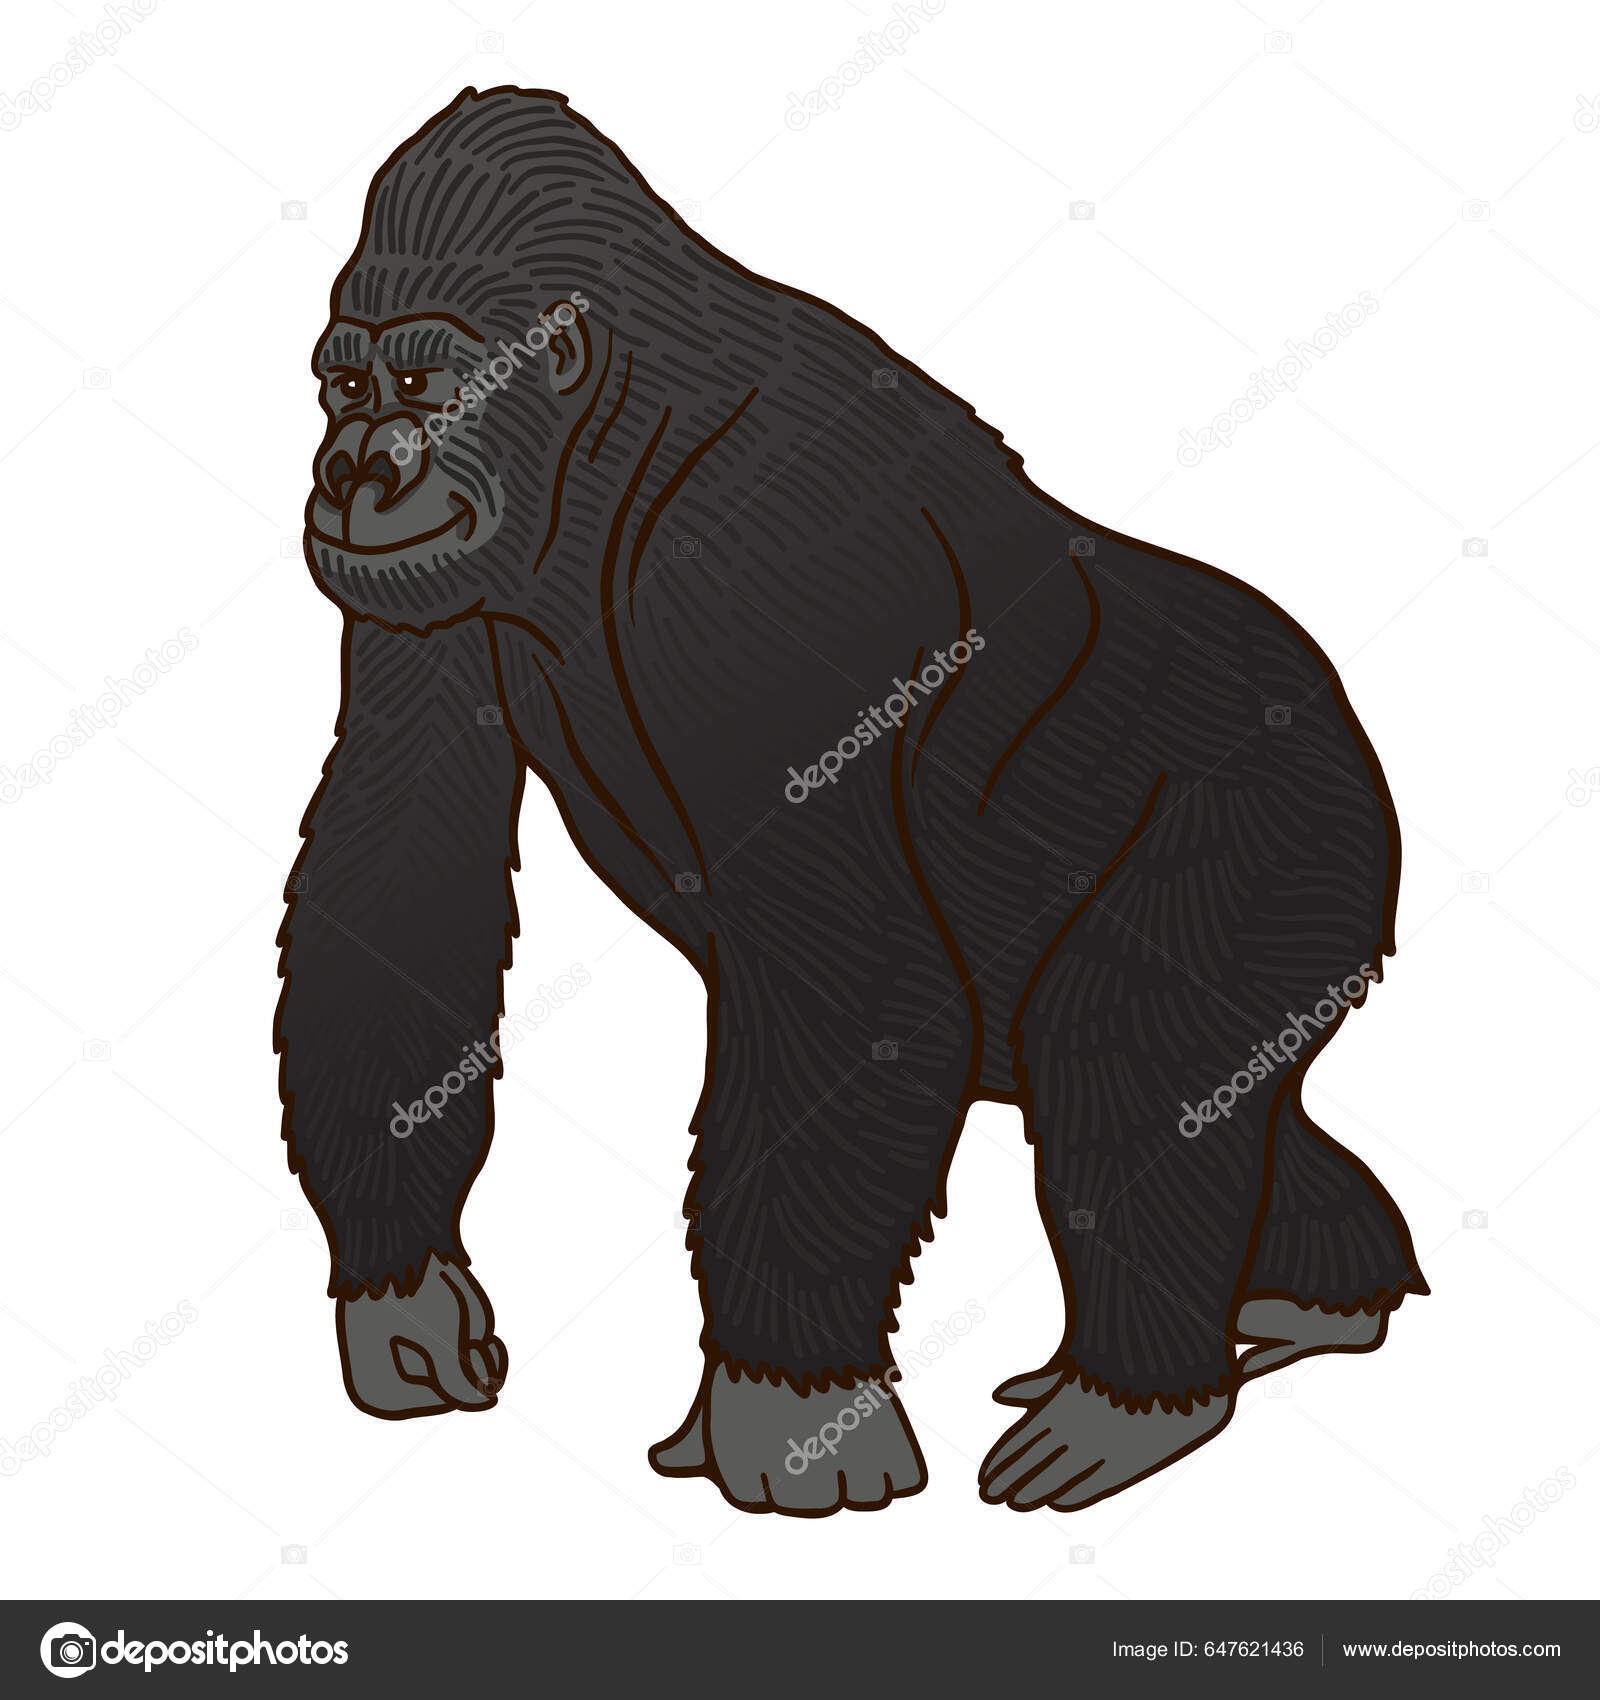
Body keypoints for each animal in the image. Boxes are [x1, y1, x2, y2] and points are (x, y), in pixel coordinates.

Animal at [276, 86, 1426, 1516]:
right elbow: (398, 872)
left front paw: (789, 1404)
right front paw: (402, 1294)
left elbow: (851, 976)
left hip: (1294, 813)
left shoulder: (759, 572)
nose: (351, 467)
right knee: (1210, 1088)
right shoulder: (416, 607)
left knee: (1122, 1059)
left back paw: (1136, 1396)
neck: (601, 445)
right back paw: (1317, 1296)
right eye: (345, 384)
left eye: (421, 385)